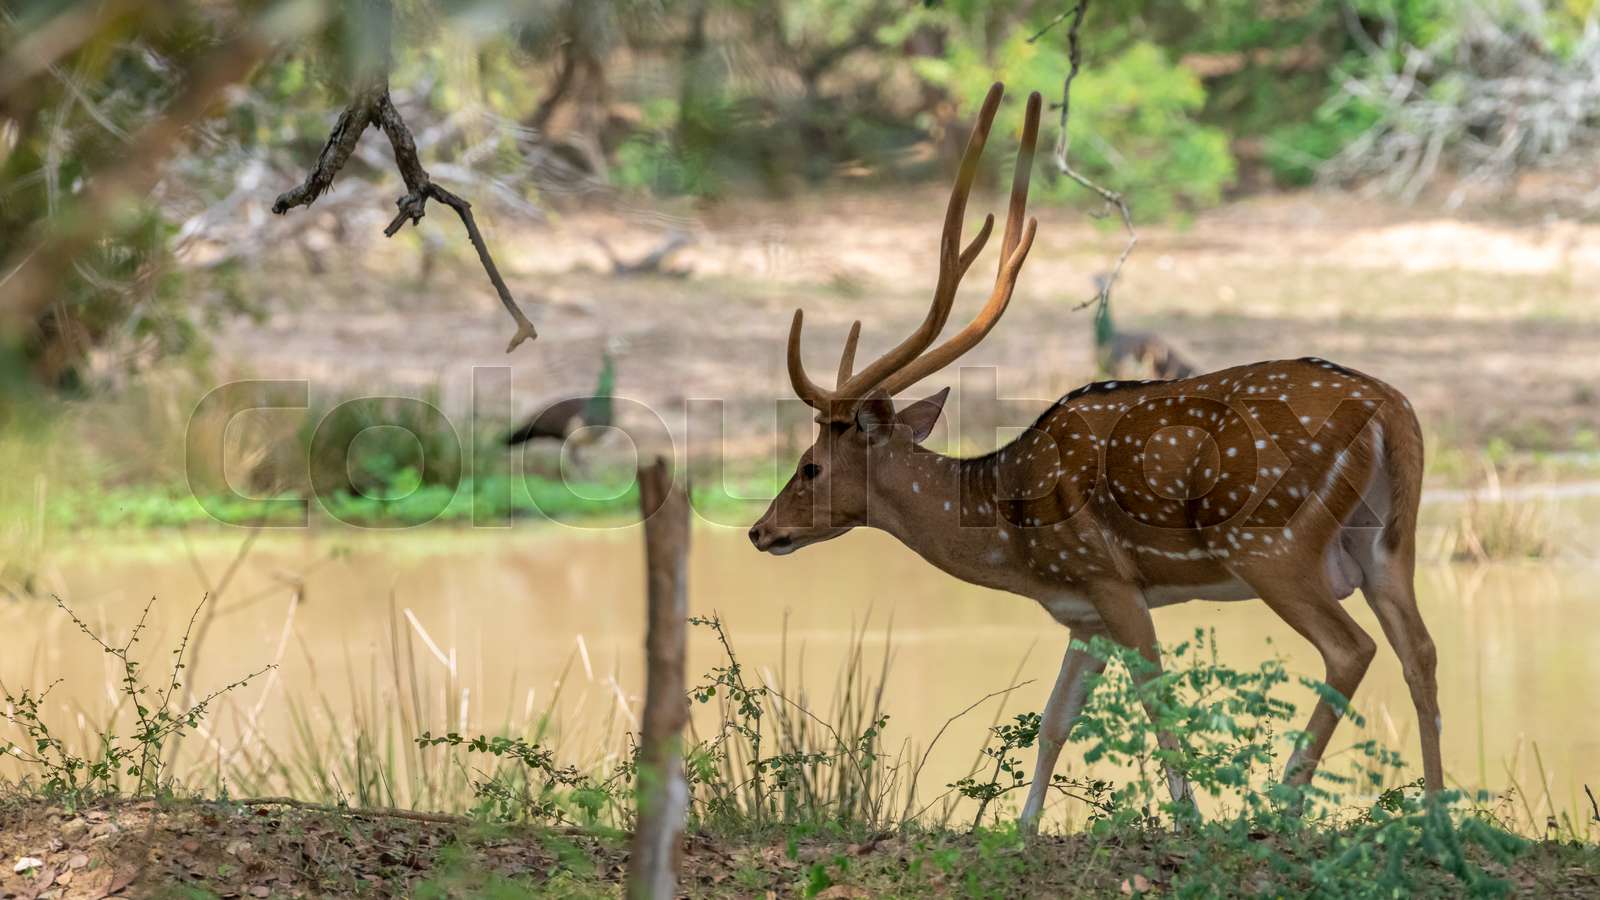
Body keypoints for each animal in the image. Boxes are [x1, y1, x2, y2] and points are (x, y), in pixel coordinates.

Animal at [747, 83, 1441, 832]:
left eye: (810, 465)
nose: (760, 529)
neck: (1011, 535)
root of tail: (1391, 407)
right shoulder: (1081, 610)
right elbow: (1056, 719)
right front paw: (1022, 828)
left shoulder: (1109, 577)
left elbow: (1155, 698)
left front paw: (1190, 821)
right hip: (1386, 542)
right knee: (1420, 650)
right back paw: (1440, 812)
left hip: (1269, 542)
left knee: (1352, 648)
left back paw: (1281, 807)